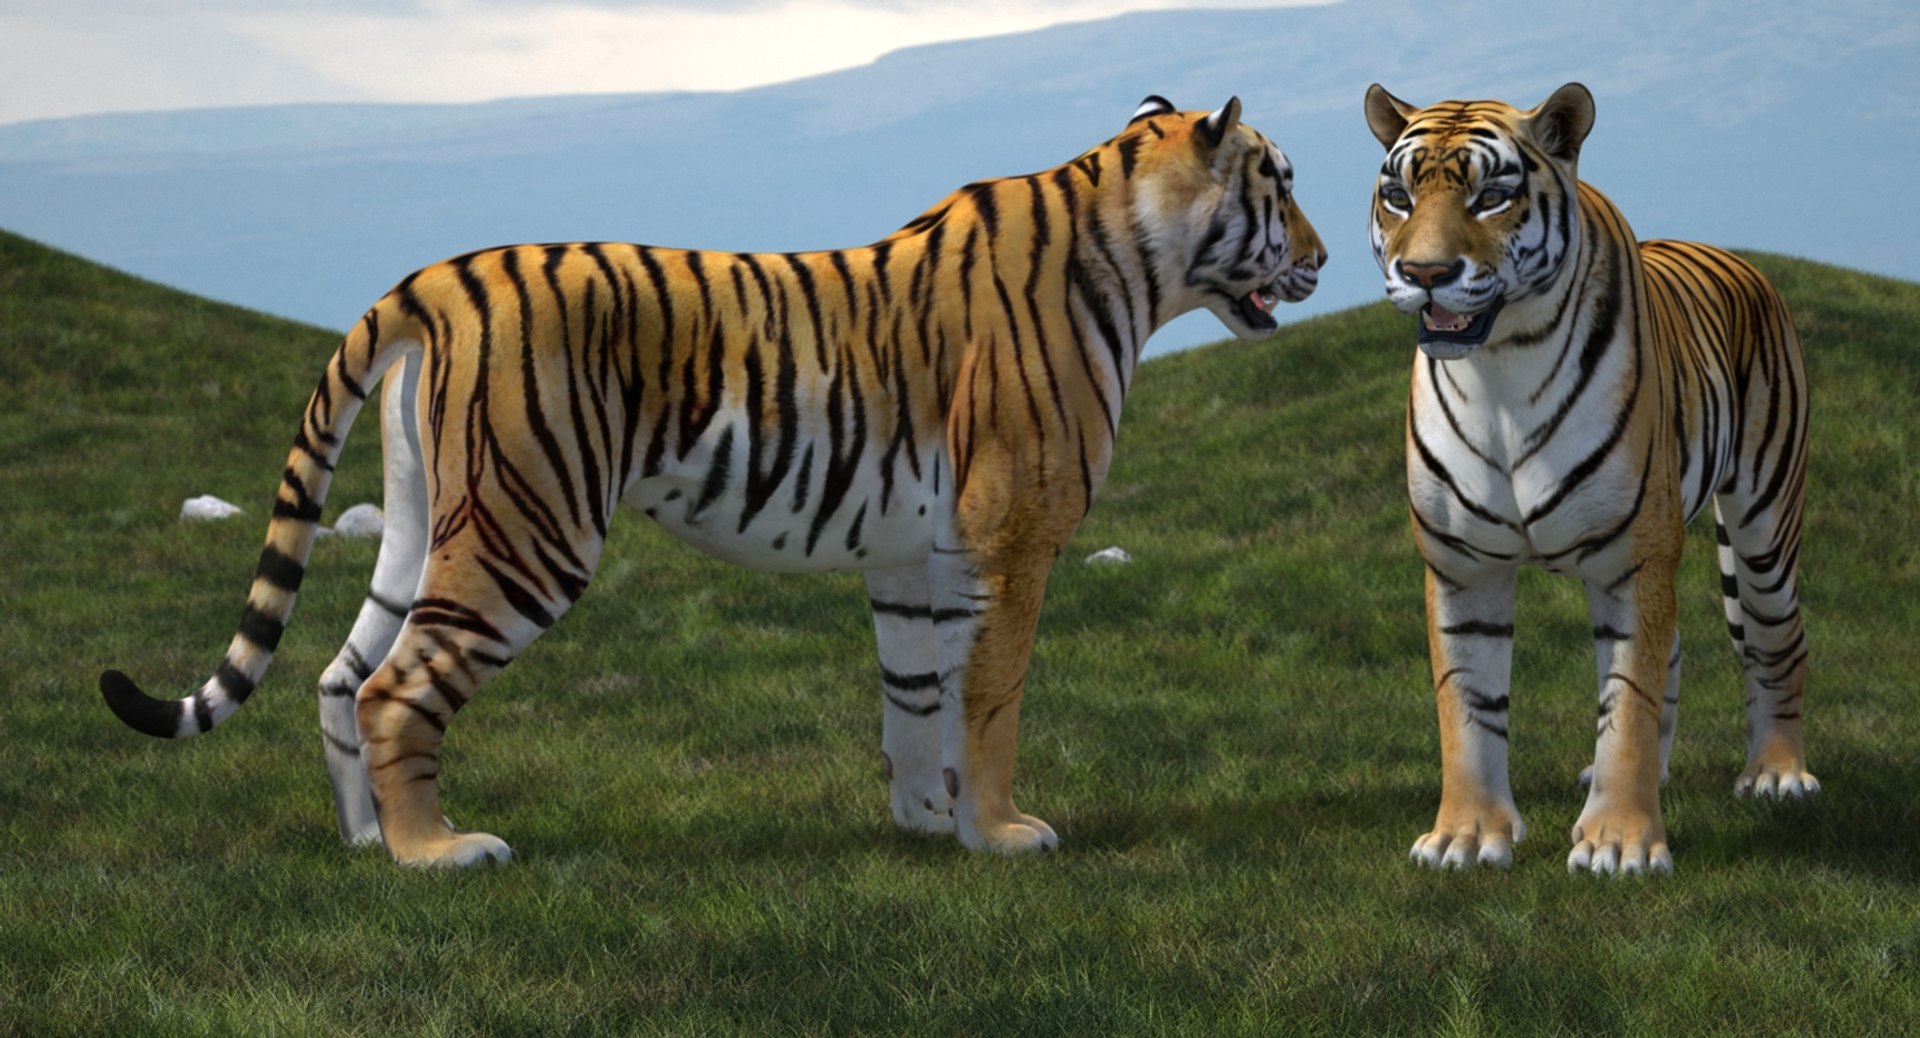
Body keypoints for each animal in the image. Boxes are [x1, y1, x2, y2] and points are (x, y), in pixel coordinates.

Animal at [100, 95, 1326, 867]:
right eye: (1280, 186)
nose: (1322, 257)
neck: (1137, 263)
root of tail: (436, 277)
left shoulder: (914, 553)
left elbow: (916, 698)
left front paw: (932, 829)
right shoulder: (1009, 539)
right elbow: (990, 697)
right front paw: (1008, 833)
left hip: (418, 530)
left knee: (341, 674)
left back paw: (363, 843)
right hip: (524, 529)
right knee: (397, 686)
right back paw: (435, 854)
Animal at [1363, 82, 1813, 876]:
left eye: (1491, 197)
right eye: (1397, 195)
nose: (1424, 275)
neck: (1499, 367)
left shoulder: (1635, 562)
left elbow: (1626, 699)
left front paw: (1620, 844)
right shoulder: (1462, 566)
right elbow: (1468, 705)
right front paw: (1465, 836)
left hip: (1763, 525)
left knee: (1776, 641)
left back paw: (1777, 773)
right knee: (1677, 654)